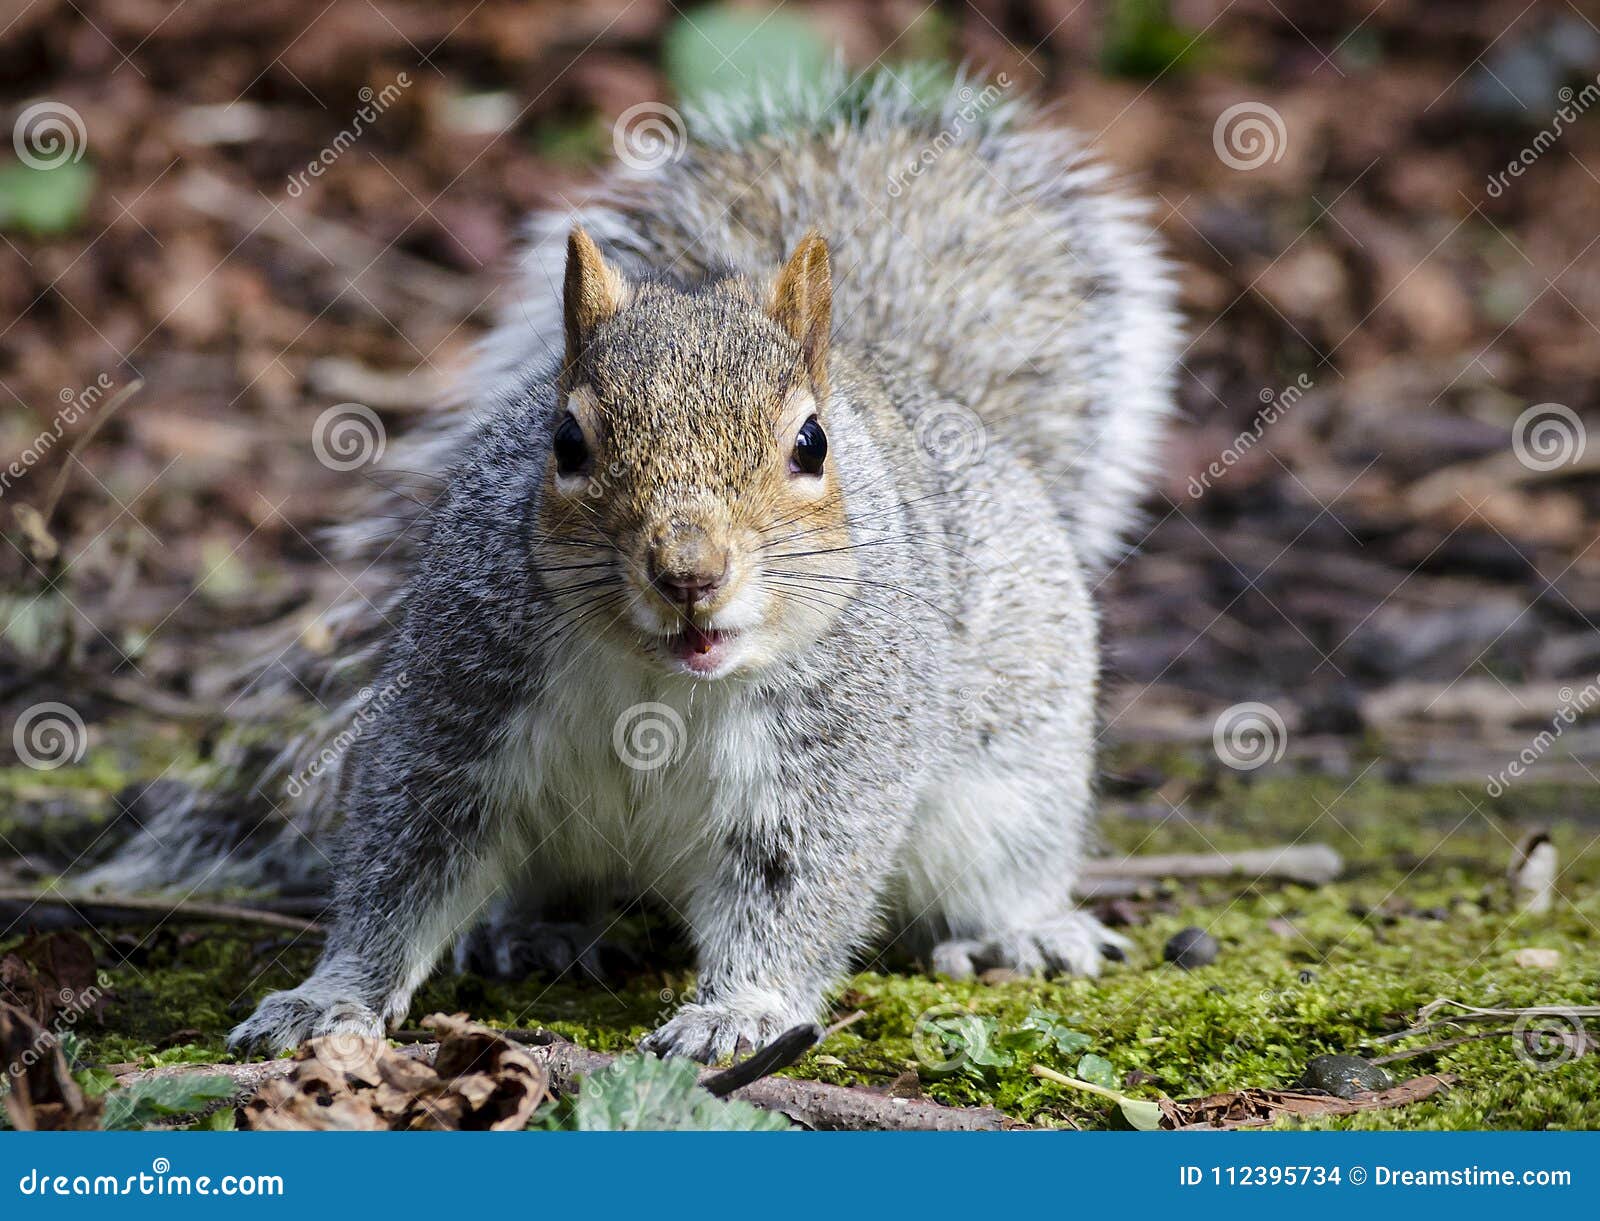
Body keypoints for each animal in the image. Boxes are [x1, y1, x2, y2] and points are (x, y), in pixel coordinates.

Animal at [97, 68, 1180, 1060]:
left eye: (812, 444)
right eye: (565, 442)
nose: (689, 572)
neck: (664, 678)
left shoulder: (838, 737)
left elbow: (798, 875)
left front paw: (740, 1012)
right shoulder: (461, 696)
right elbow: (405, 858)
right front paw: (331, 996)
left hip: (1015, 776)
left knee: (1002, 861)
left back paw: (1018, 934)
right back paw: (534, 932)